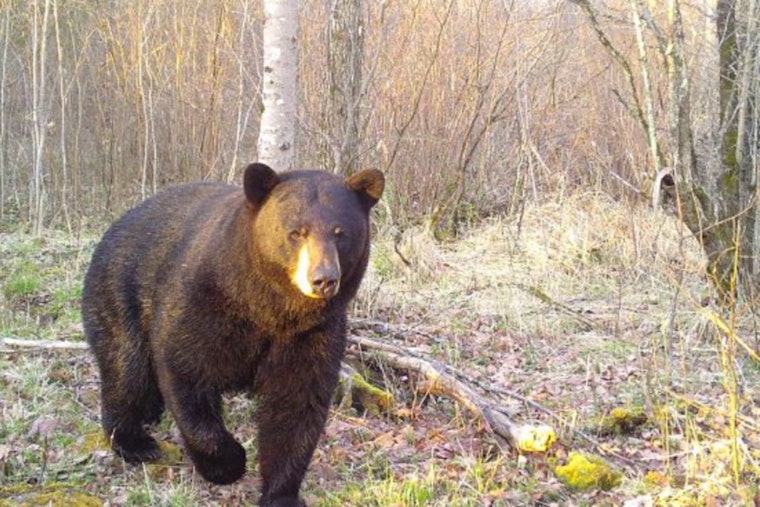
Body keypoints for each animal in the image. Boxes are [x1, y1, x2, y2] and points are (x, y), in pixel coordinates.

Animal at [81, 163, 384, 507]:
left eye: (340, 233)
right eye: (296, 232)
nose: (323, 279)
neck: (272, 309)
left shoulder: (312, 334)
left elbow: (297, 404)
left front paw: (281, 494)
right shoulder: (204, 299)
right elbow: (184, 366)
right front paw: (227, 463)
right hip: (119, 292)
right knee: (125, 367)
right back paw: (134, 441)